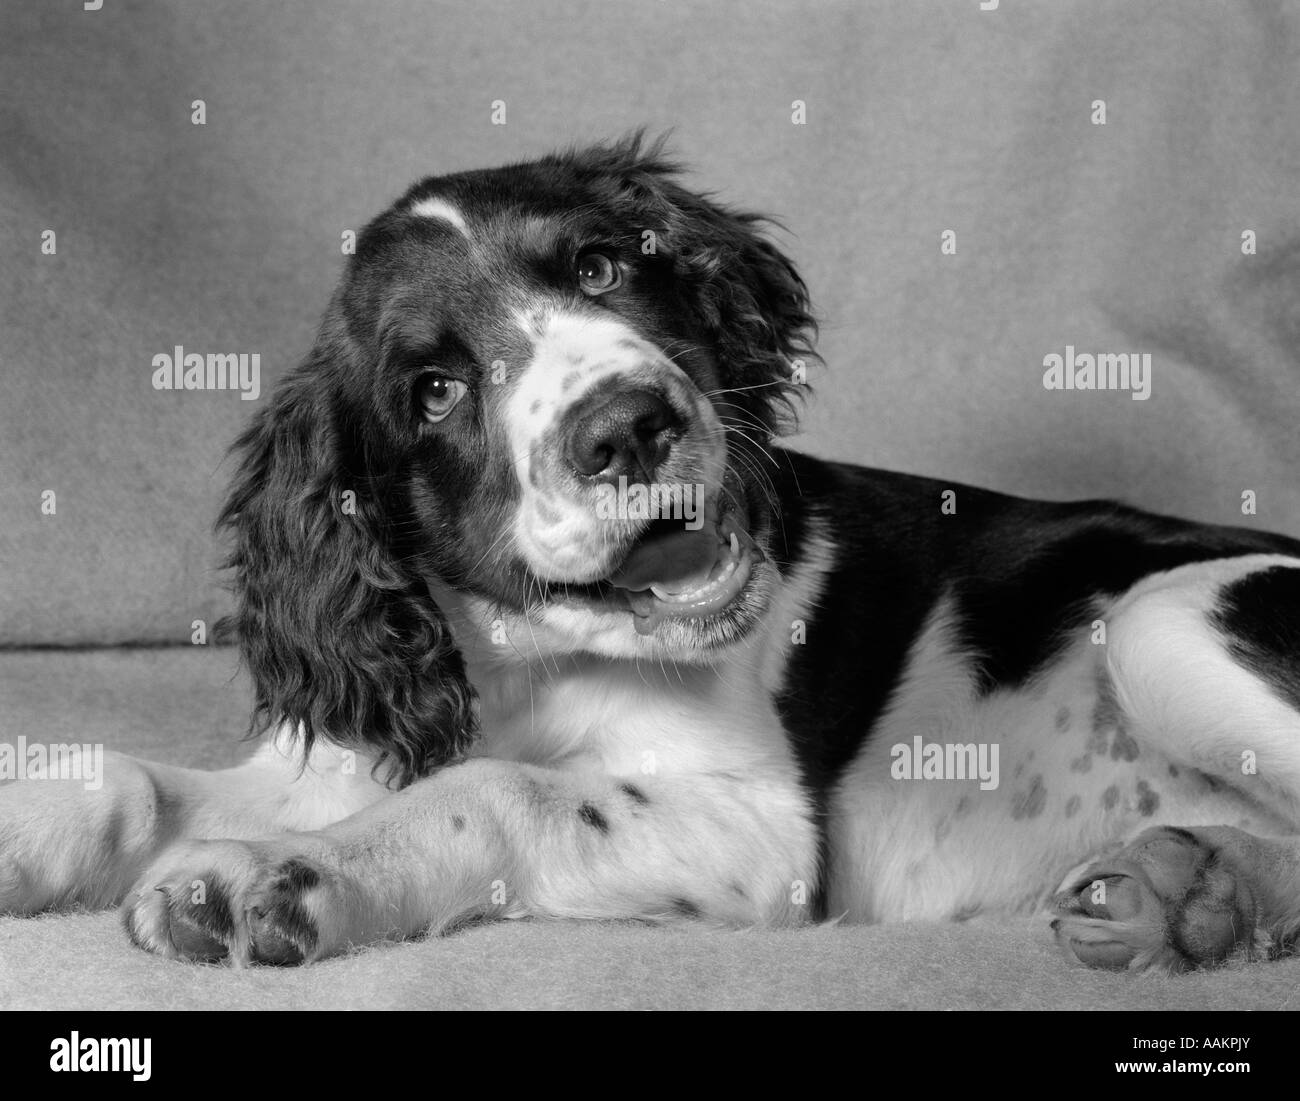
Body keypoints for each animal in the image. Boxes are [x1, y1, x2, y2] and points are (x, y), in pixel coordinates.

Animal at [2, 135, 1300, 972]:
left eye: (599, 267)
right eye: (434, 390)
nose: (628, 424)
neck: (527, 667)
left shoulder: (766, 831)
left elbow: (498, 789)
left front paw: (281, 877)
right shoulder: (359, 733)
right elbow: (138, 779)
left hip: (1162, 621)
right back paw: (1191, 894)